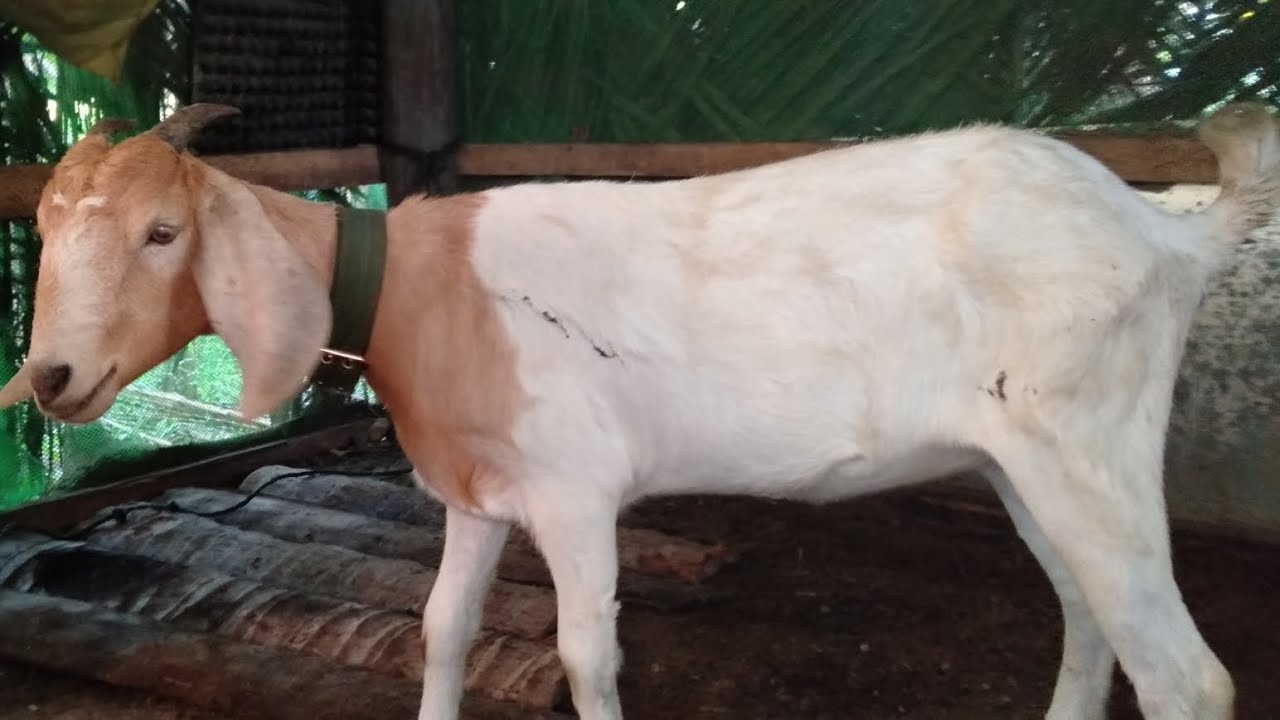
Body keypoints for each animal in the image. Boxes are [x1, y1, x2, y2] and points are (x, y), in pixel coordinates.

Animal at [2, 101, 1277, 720]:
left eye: (164, 232)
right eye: (47, 230)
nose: (55, 378)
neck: (420, 285)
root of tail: (1166, 228)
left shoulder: (574, 492)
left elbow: (585, 657)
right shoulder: (476, 491)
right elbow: (441, 630)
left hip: (1090, 439)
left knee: (1186, 679)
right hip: (1024, 460)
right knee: (1086, 616)